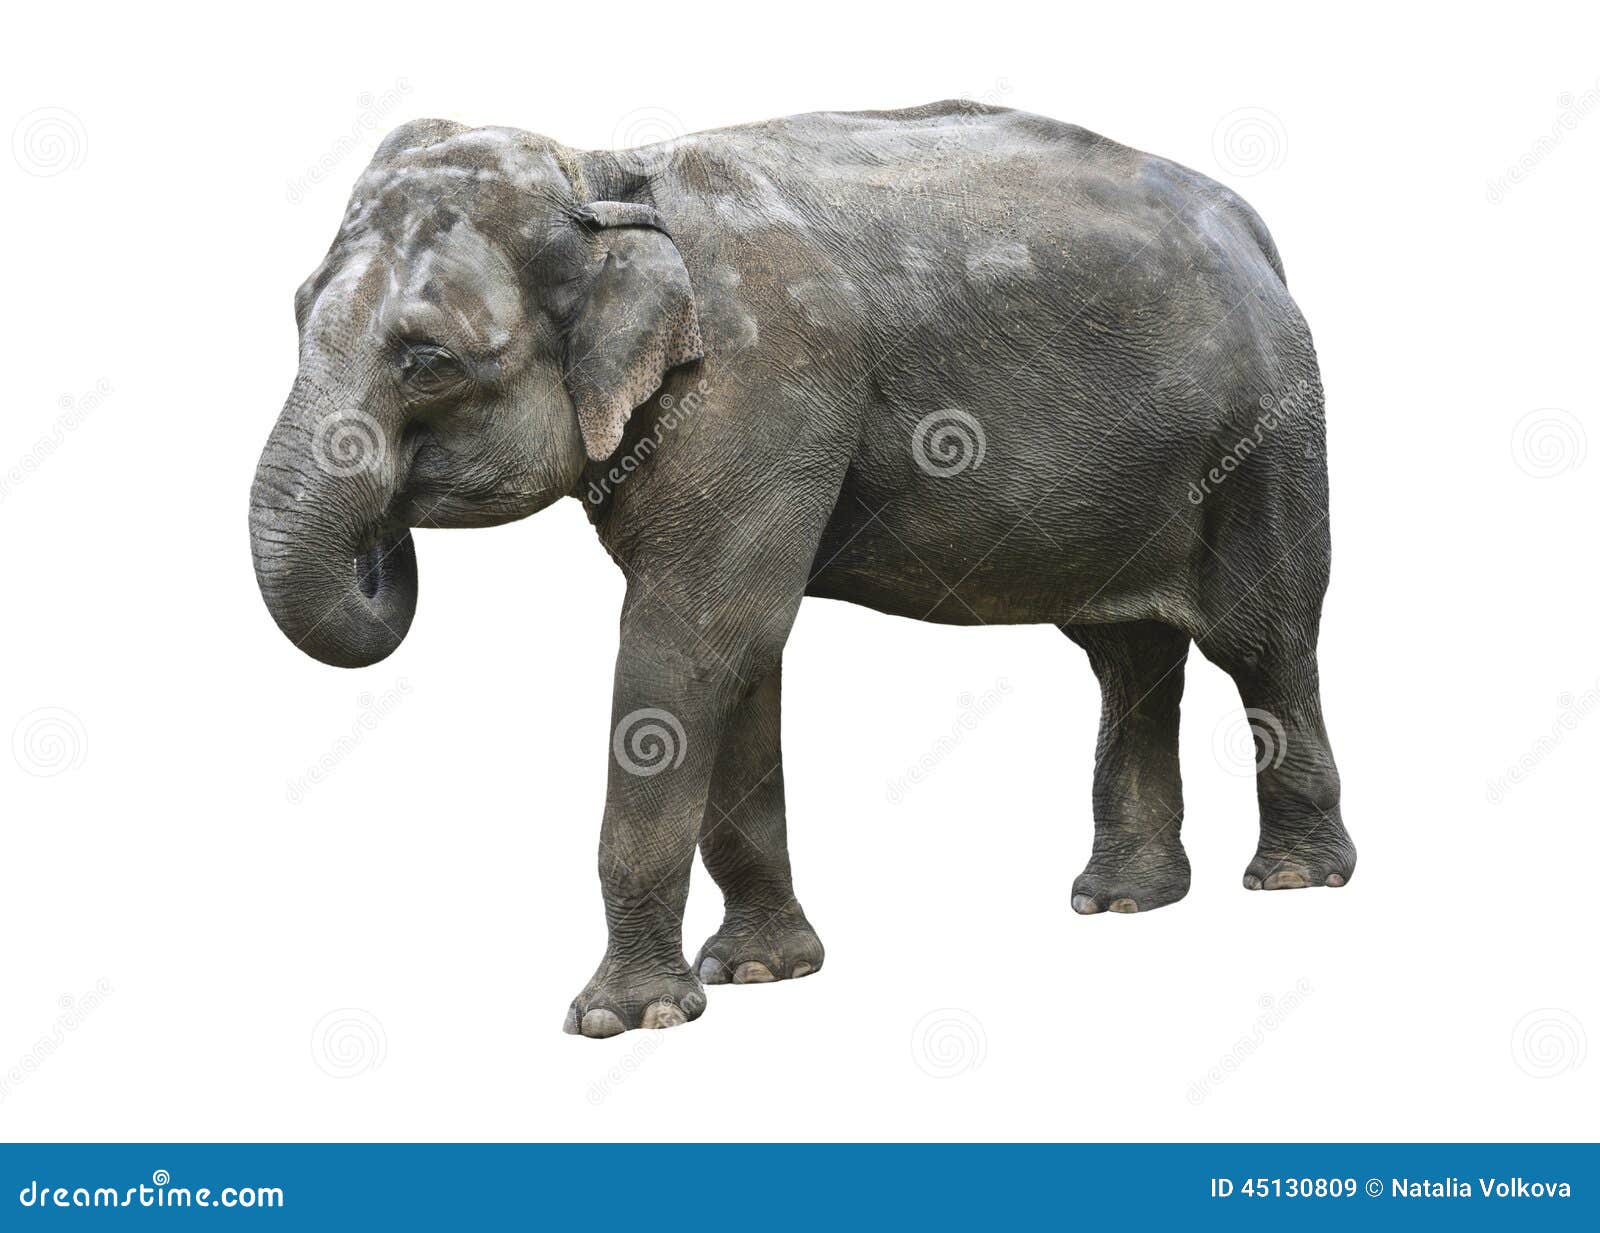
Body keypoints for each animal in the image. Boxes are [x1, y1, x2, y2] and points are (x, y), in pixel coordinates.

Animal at [249, 100, 1354, 1038]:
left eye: (428, 360)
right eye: (296, 310)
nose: (387, 530)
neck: (606, 170)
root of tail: (1256, 233)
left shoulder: (762, 386)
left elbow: (690, 638)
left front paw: (624, 1018)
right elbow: (741, 657)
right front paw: (759, 973)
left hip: (1265, 433)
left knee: (1263, 638)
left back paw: (1292, 883)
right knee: (1128, 657)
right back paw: (1122, 900)